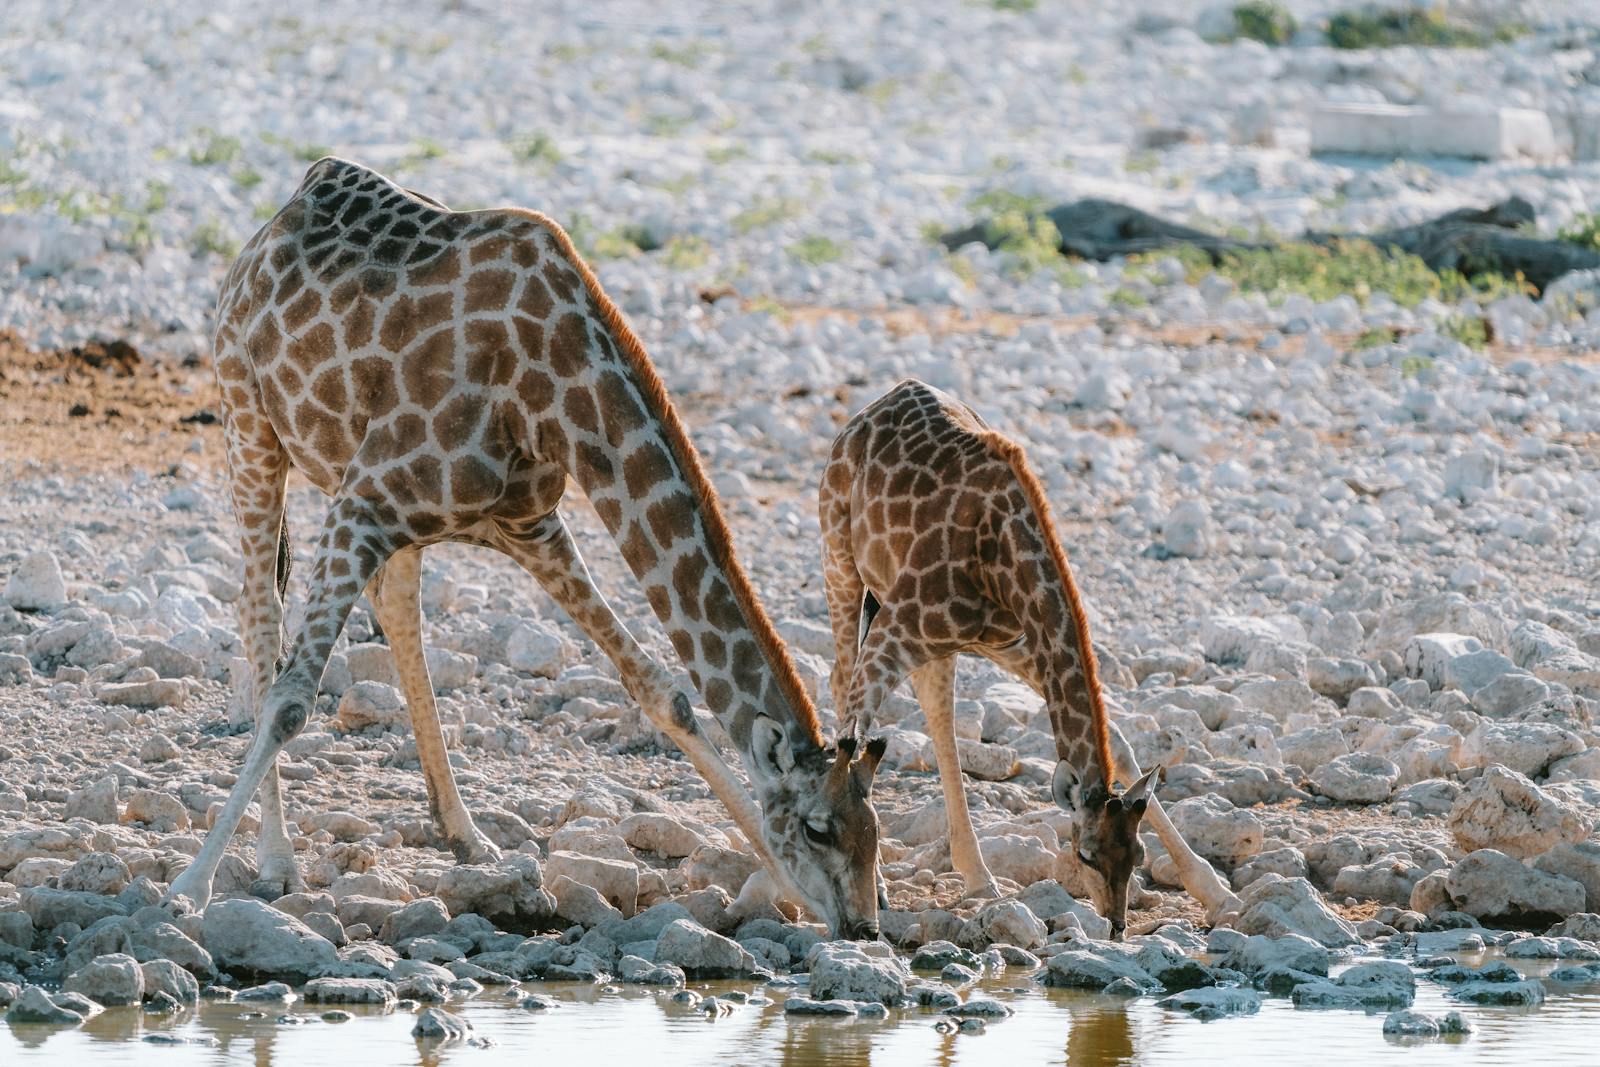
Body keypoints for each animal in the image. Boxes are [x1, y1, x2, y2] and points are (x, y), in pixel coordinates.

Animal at [163, 157, 885, 939]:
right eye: (817, 827)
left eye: (874, 831)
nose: (864, 925)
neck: (553, 392)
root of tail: (296, 196)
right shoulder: (364, 502)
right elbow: (292, 702)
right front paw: (188, 888)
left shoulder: (527, 525)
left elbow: (662, 691)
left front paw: (780, 885)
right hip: (248, 420)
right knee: (259, 614)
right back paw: (278, 861)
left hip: (388, 508)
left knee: (397, 608)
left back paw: (466, 834)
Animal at [818, 379, 1240, 937]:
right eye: (1084, 856)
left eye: (1138, 855)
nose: (1116, 923)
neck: (1003, 559)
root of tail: (870, 410)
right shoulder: (895, 628)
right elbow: (854, 734)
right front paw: (873, 887)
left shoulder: (1017, 640)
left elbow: (1122, 745)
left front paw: (1217, 893)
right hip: (841, 560)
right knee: (842, 679)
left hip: (952, 637)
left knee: (937, 707)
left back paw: (979, 877)